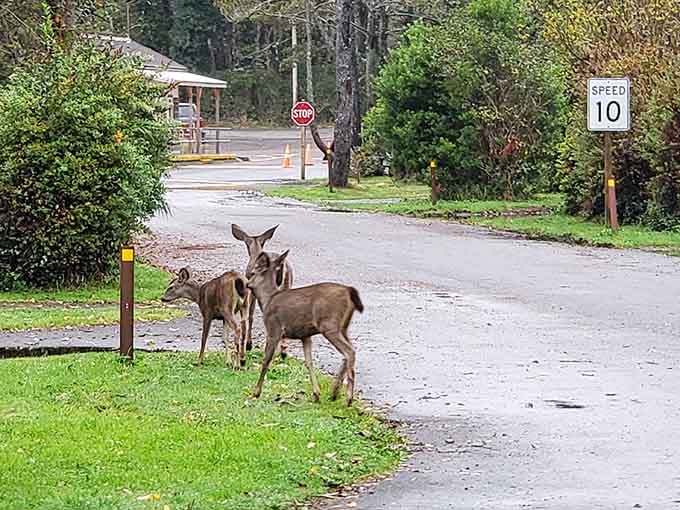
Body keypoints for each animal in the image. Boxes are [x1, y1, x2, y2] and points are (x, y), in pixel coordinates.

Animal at [231, 223, 293, 359]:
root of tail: (282, 264)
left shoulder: (251, 288)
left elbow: (250, 315)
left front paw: (249, 344)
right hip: (288, 285)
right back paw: (283, 351)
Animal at [247, 250, 364, 407]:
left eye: (253, 272)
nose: (247, 283)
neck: (267, 300)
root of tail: (349, 291)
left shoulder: (274, 328)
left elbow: (266, 360)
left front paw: (256, 392)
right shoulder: (305, 336)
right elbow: (309, 362)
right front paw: (316, 394)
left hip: (329, 325)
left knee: (349, 352)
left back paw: (348, 398)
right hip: (343, 327)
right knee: (348, 352)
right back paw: (334, 393)